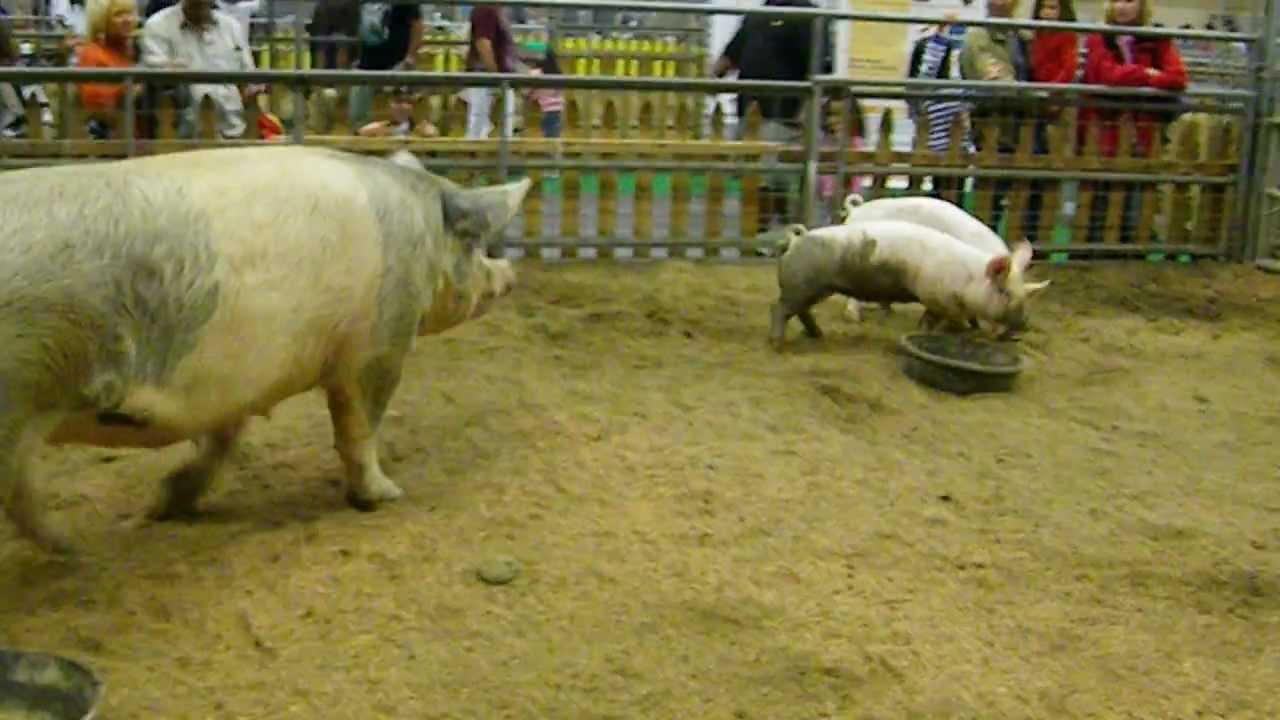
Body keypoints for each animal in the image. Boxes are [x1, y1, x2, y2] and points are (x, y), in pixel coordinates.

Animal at [0, 144, 530, 554]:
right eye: (474, 243)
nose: (511, 274)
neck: (421, 233)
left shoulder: (228, 383)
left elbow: (223, 442)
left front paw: (163, 505)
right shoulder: (378, 346)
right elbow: (359, 428)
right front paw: (386, 495)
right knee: (18, 492)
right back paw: (70, 548)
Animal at [769, 219, 1050, 349]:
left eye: (1025, 291)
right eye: (1004, 291)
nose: (1024, 324)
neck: (968, 281)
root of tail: (796, 240)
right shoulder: (936, 298)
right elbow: (933, 322)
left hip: (816, 289)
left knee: (802, 312)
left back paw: (818, 335)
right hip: (801, 286)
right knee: (780, 309)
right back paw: (778, 345)